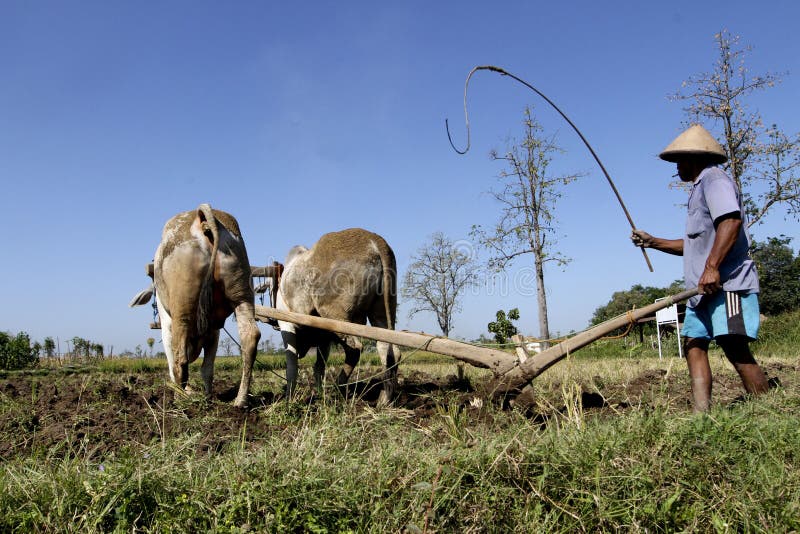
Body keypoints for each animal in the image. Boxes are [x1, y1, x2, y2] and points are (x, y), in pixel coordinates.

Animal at [129, 204, 260, 408]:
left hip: (182, 309)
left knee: (180, 358)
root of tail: (201, 217)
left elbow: (172, 362)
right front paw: (207, 397)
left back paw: (179, 399)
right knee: (250, 339)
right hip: (242, 294)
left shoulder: (166, 323)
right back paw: (240, 400)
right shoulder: (214, 329)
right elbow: (207, 369)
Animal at [276, 228, 401, 405]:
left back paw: (339, 387)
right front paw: (320, 395)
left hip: (334, 314)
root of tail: (374, 242)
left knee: (355, 349)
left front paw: (288, 400)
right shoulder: (324, 337)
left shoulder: (286, 324)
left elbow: (292, 367)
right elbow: (318, 368)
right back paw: (384, 400)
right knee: (389, 350)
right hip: (382, 310)